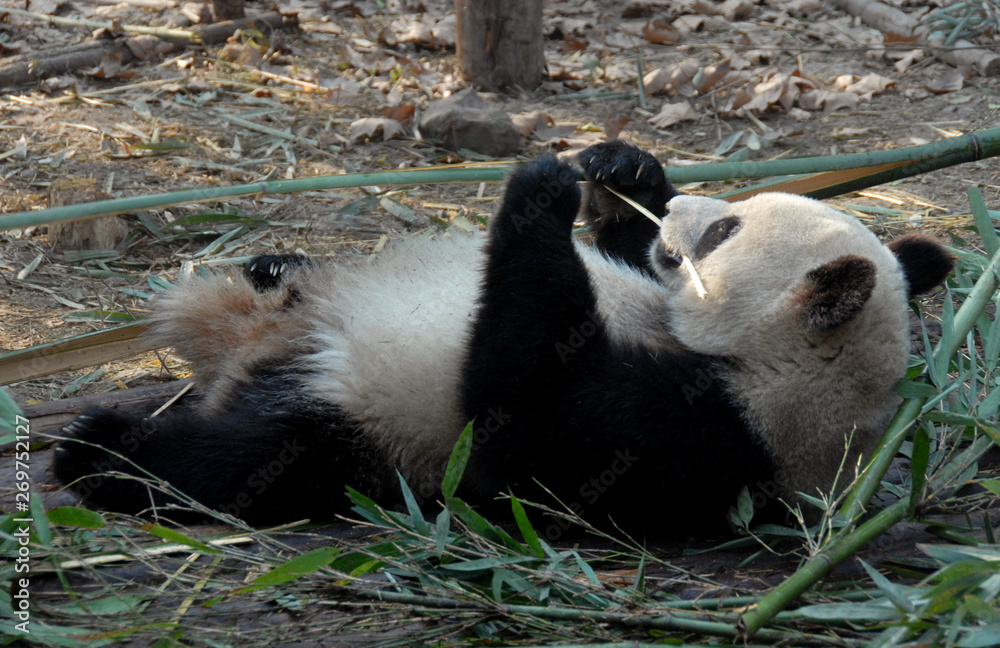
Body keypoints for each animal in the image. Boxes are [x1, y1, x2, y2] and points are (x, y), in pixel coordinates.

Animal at [53, 141, 953, 535]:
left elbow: (522, 415)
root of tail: (258, 352)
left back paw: (99, 450)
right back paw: (276, 269)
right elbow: (617, 261)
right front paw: (622, 173)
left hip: (355, 425)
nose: (684, 213)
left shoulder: (706, 432)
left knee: (237, 460)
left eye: (725, 229)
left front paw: (544, 192)